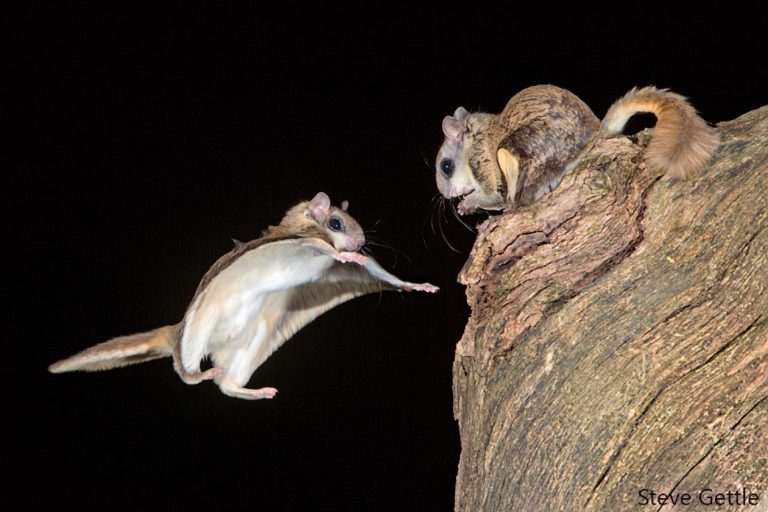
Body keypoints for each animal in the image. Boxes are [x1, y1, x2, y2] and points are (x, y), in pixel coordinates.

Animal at [49, 192, 438, 400]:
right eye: (336, 223)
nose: (359, 242)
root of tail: (178, 331)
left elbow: (380, 273)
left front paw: (415, 286)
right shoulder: (305, 241)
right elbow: (327, 251)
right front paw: (349, 256)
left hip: (257, 333)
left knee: (227, 386)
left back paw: (250, 390)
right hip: (196, 330)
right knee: (184, 369)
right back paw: (199, 375)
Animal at [435, 84, 720, 215]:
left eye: (446, 167)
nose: (446, 196)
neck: (474, 138)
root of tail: (594, 134)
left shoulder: (483, 161)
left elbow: (493, 195)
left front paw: (468, 203)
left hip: (514, 151)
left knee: (520, 199)